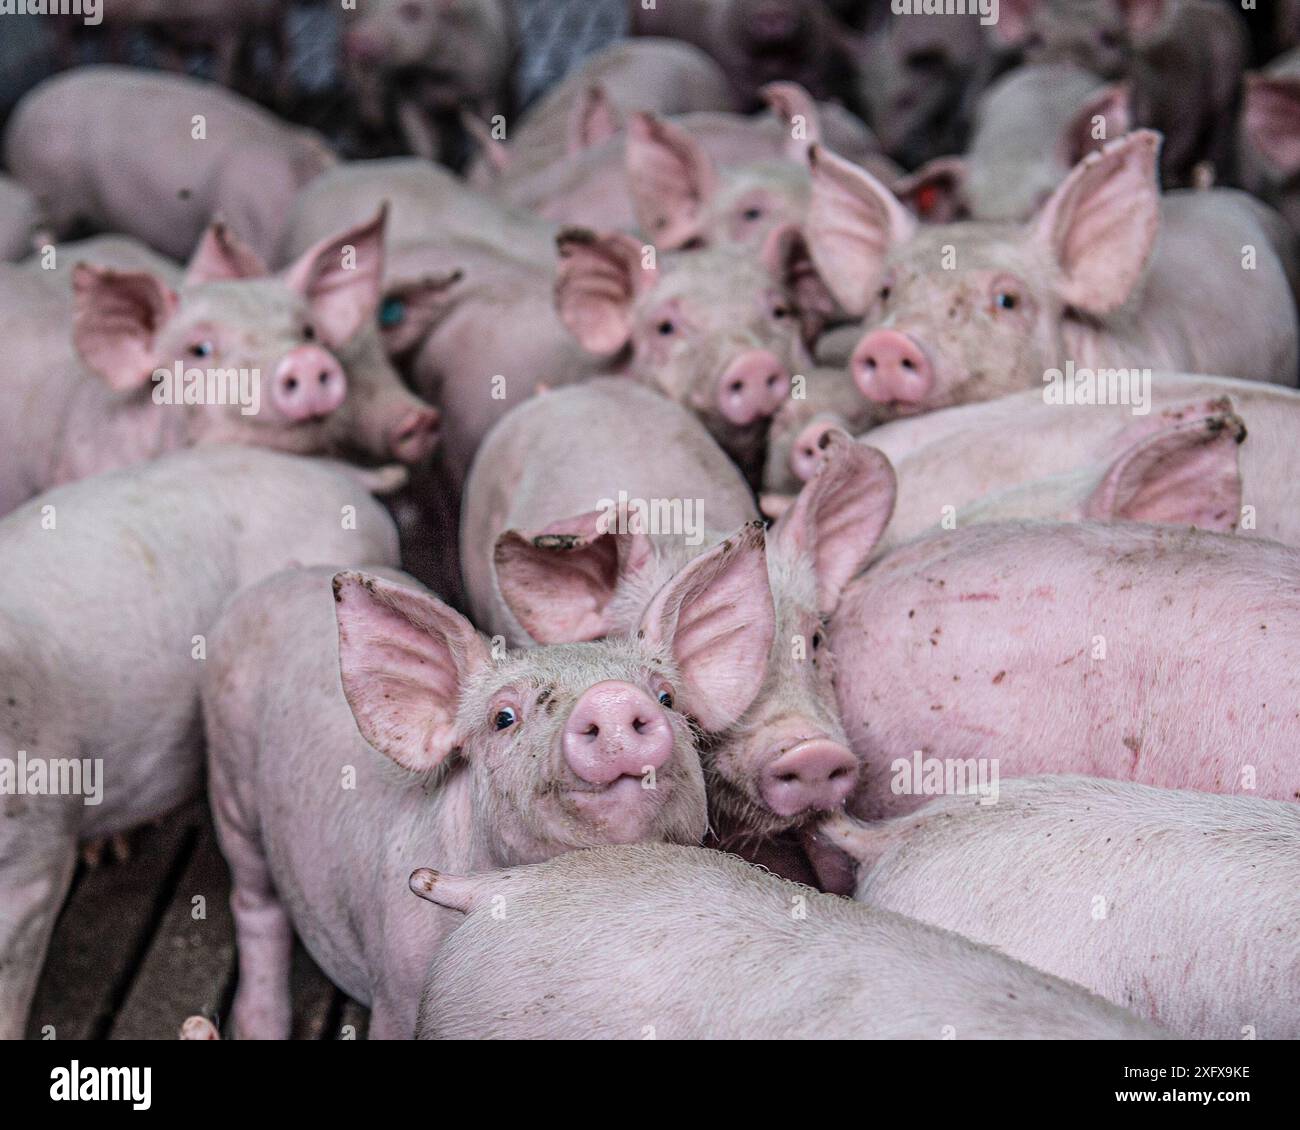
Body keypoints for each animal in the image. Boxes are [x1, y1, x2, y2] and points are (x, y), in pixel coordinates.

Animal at [203, 537, 774, 1038]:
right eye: (503, 717)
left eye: (666, 697)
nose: (612, 698)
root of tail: (287, 576)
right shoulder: (396, 989)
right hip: (230, 777)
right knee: (255, 903)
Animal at [341, 0, 518, 160]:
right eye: (368, 8)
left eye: (412, 10)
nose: (354, 38)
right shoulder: (406, 94)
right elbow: (419, 135)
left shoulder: (487, 81)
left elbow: (488, 117)